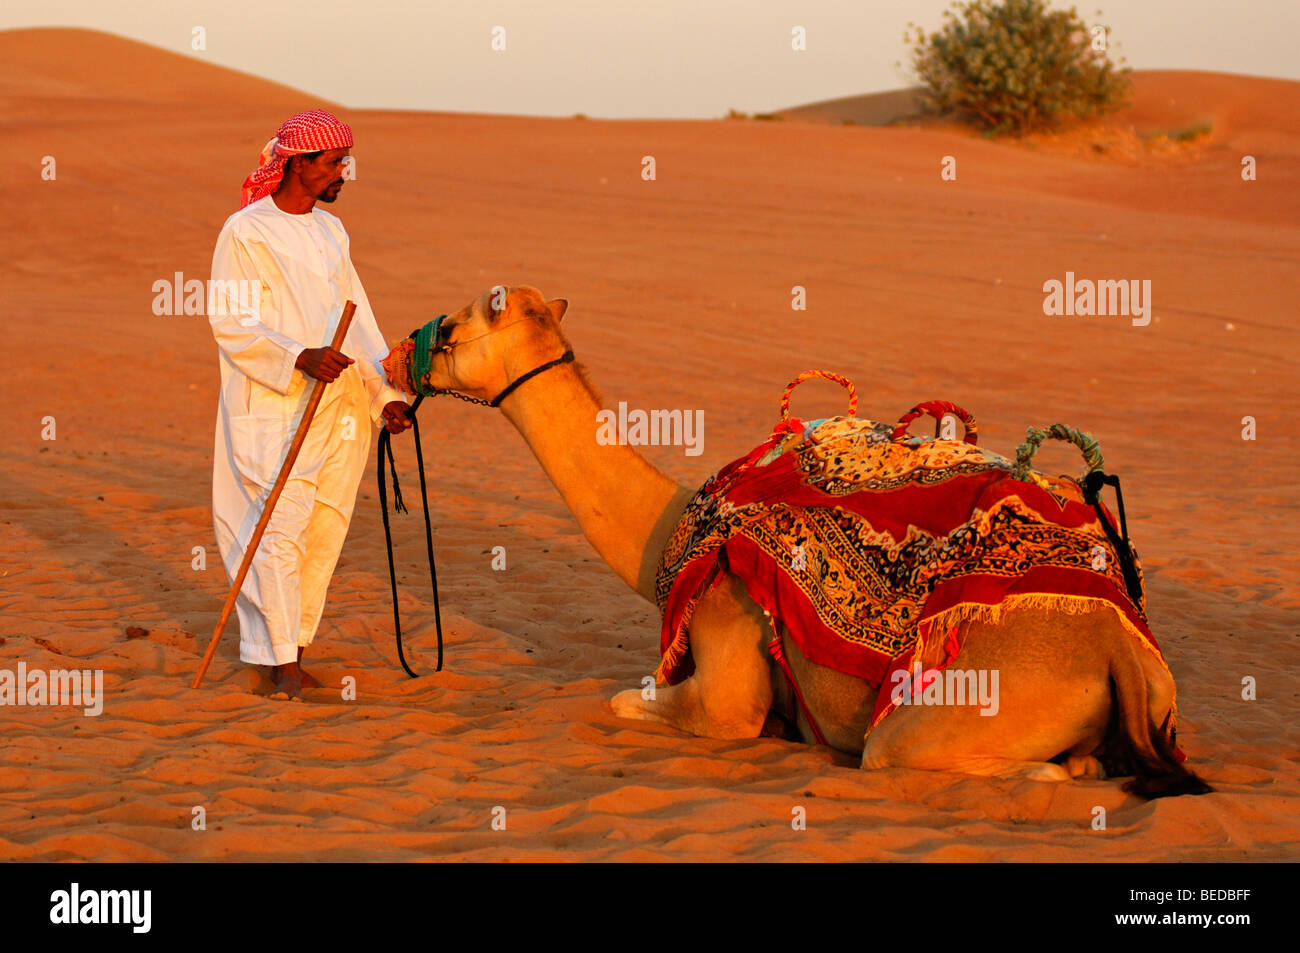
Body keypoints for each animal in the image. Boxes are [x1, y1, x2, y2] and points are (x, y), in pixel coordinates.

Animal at [395, 285, 1211, 799]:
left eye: (455, 330)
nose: (400, 352)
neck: (673, 526)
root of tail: (1116, 645)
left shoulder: (726, 653)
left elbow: (637, 701)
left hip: (947, 708)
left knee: (960, 761)